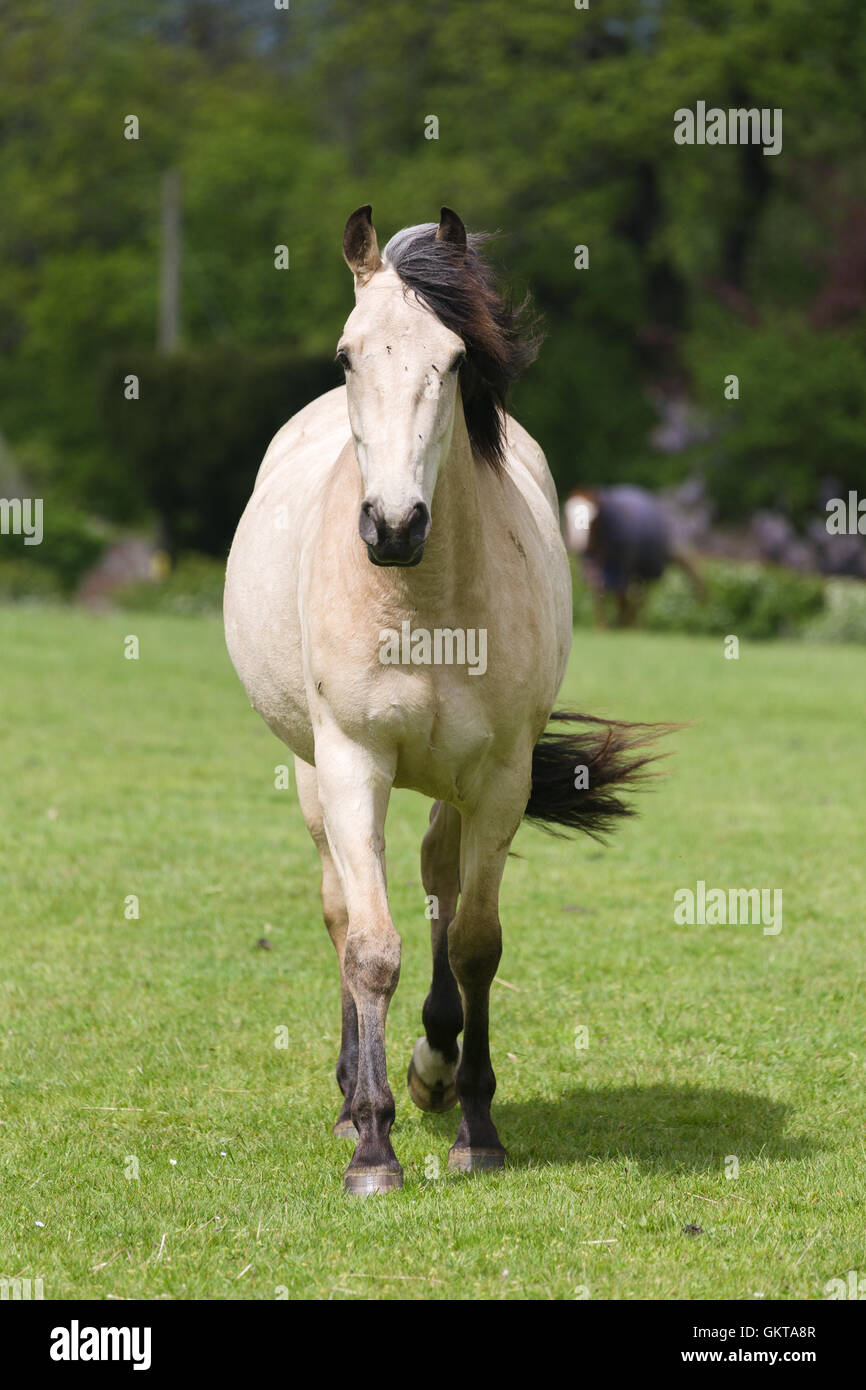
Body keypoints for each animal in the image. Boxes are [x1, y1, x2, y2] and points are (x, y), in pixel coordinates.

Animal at [224, 206, 662, 1195]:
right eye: (347, 355)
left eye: (457, 360)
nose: (393, 525)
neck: (421, 606)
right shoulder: (352, 761)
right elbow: (370, 948)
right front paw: (375, 1146)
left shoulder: (498, 778)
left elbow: (474, 941)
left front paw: (475, 1124)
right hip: (313, 772)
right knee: (345, 909)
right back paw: (354, 1097)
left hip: (453, 784)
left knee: (434, 882)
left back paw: (432, 1062)